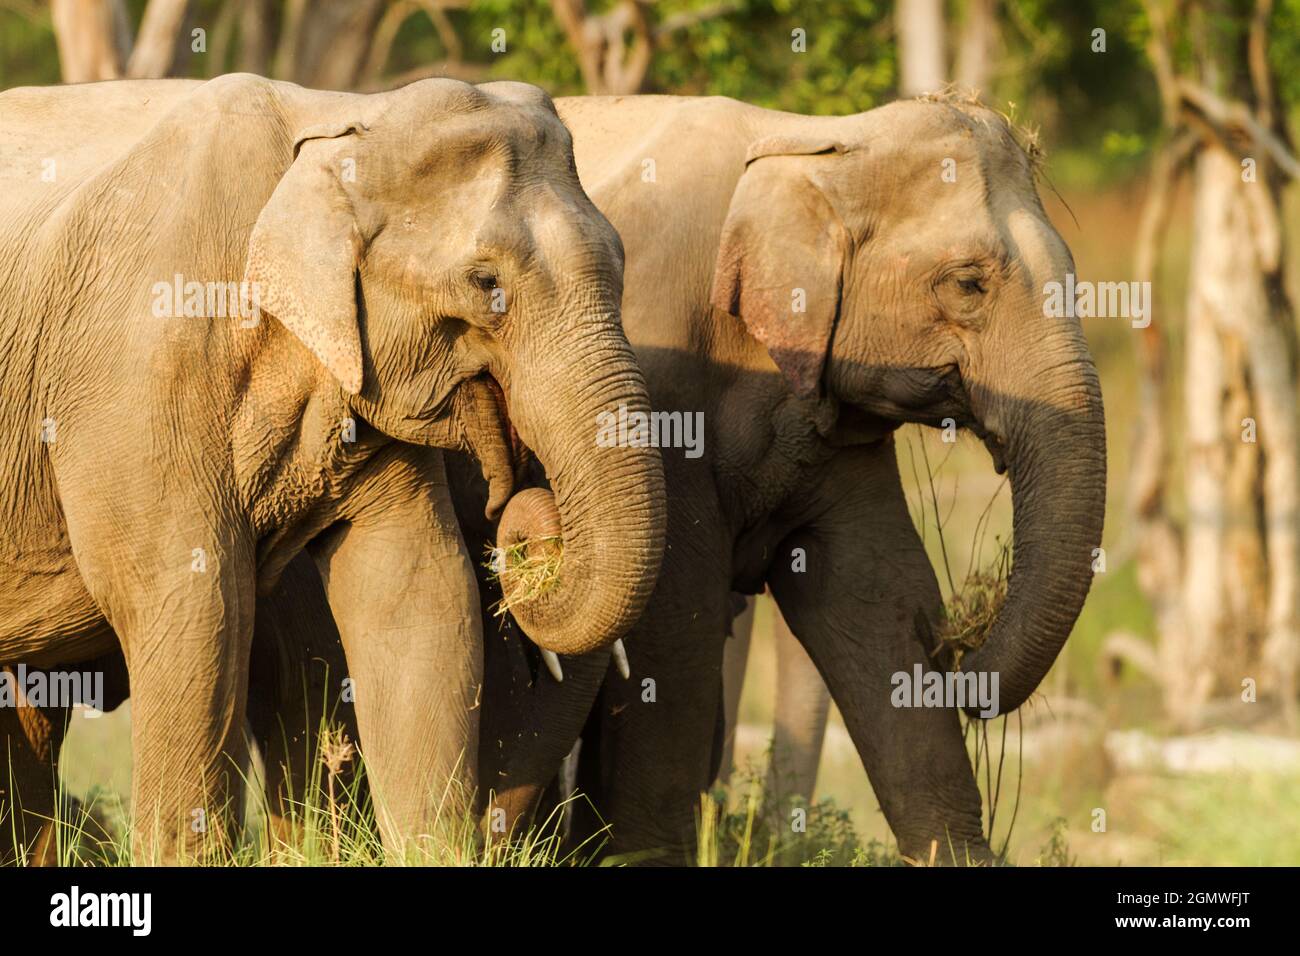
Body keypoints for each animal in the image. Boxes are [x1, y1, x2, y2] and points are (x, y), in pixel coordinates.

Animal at [0, 73, 665, 862]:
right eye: (485, 282)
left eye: (623, 263)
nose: (524, 514)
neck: (345, 118)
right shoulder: (135, 378)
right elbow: (196, 600)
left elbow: (417, 592)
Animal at [471, 91, 1107, 865]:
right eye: (968, 284)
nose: (961, 652)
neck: (813, 140)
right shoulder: (657, 364)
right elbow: (675, 612)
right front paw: (647, 857)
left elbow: (874, 588)